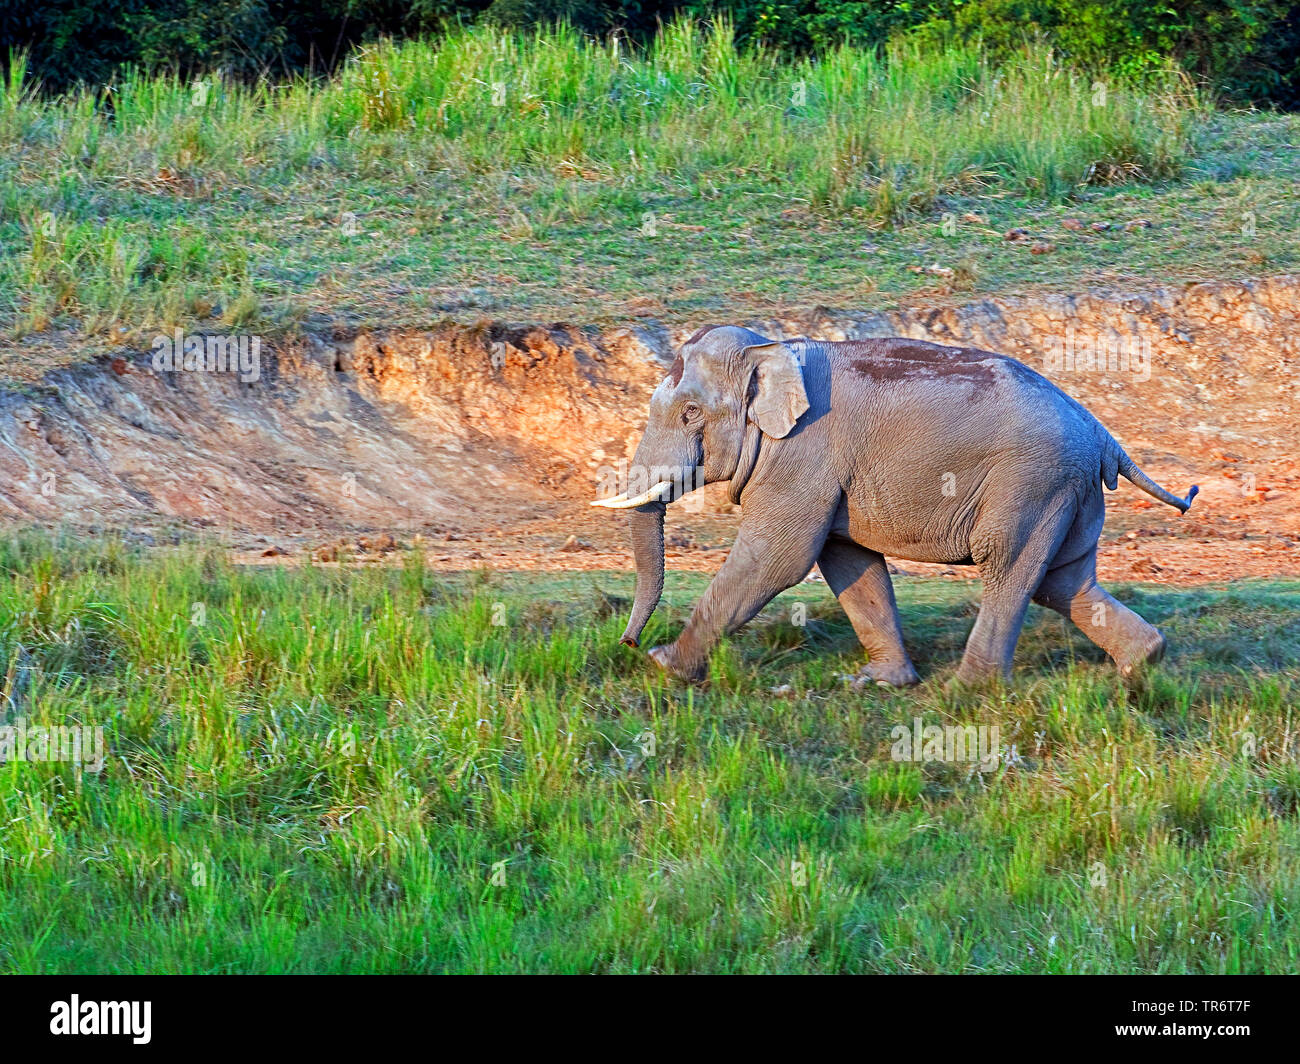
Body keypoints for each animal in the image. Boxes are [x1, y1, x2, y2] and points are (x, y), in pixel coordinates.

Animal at [592, 325, 1198, 686]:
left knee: (1008, 565)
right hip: (1066, 488)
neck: (770, 348)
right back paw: (1142, 664)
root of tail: (1102, 432)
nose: (628, 642)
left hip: (1031, 481)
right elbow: (847, 559)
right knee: (1063, 579)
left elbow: (777, 558)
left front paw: (667, 668)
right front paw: (880, 683)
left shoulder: (803, 456)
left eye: (691, 413)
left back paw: (965, 691)